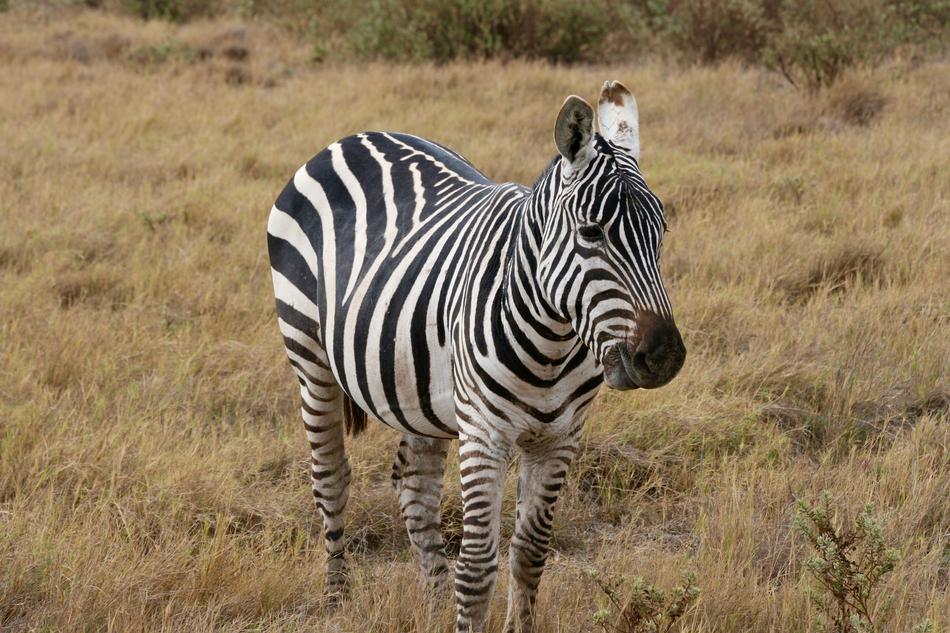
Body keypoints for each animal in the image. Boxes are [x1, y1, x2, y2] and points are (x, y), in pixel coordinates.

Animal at [267, 80, 686, 633]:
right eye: (591, 233)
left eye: (661, 233)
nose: (663, 356)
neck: (552, 343)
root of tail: (353, 137)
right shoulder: (485, 434)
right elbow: (478, 566)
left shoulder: (560, 438)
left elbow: (531, 552)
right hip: (309, 356)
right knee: (331, 478)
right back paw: (336, 599)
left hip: (420, 390)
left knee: (413, 484)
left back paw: (432, 608)